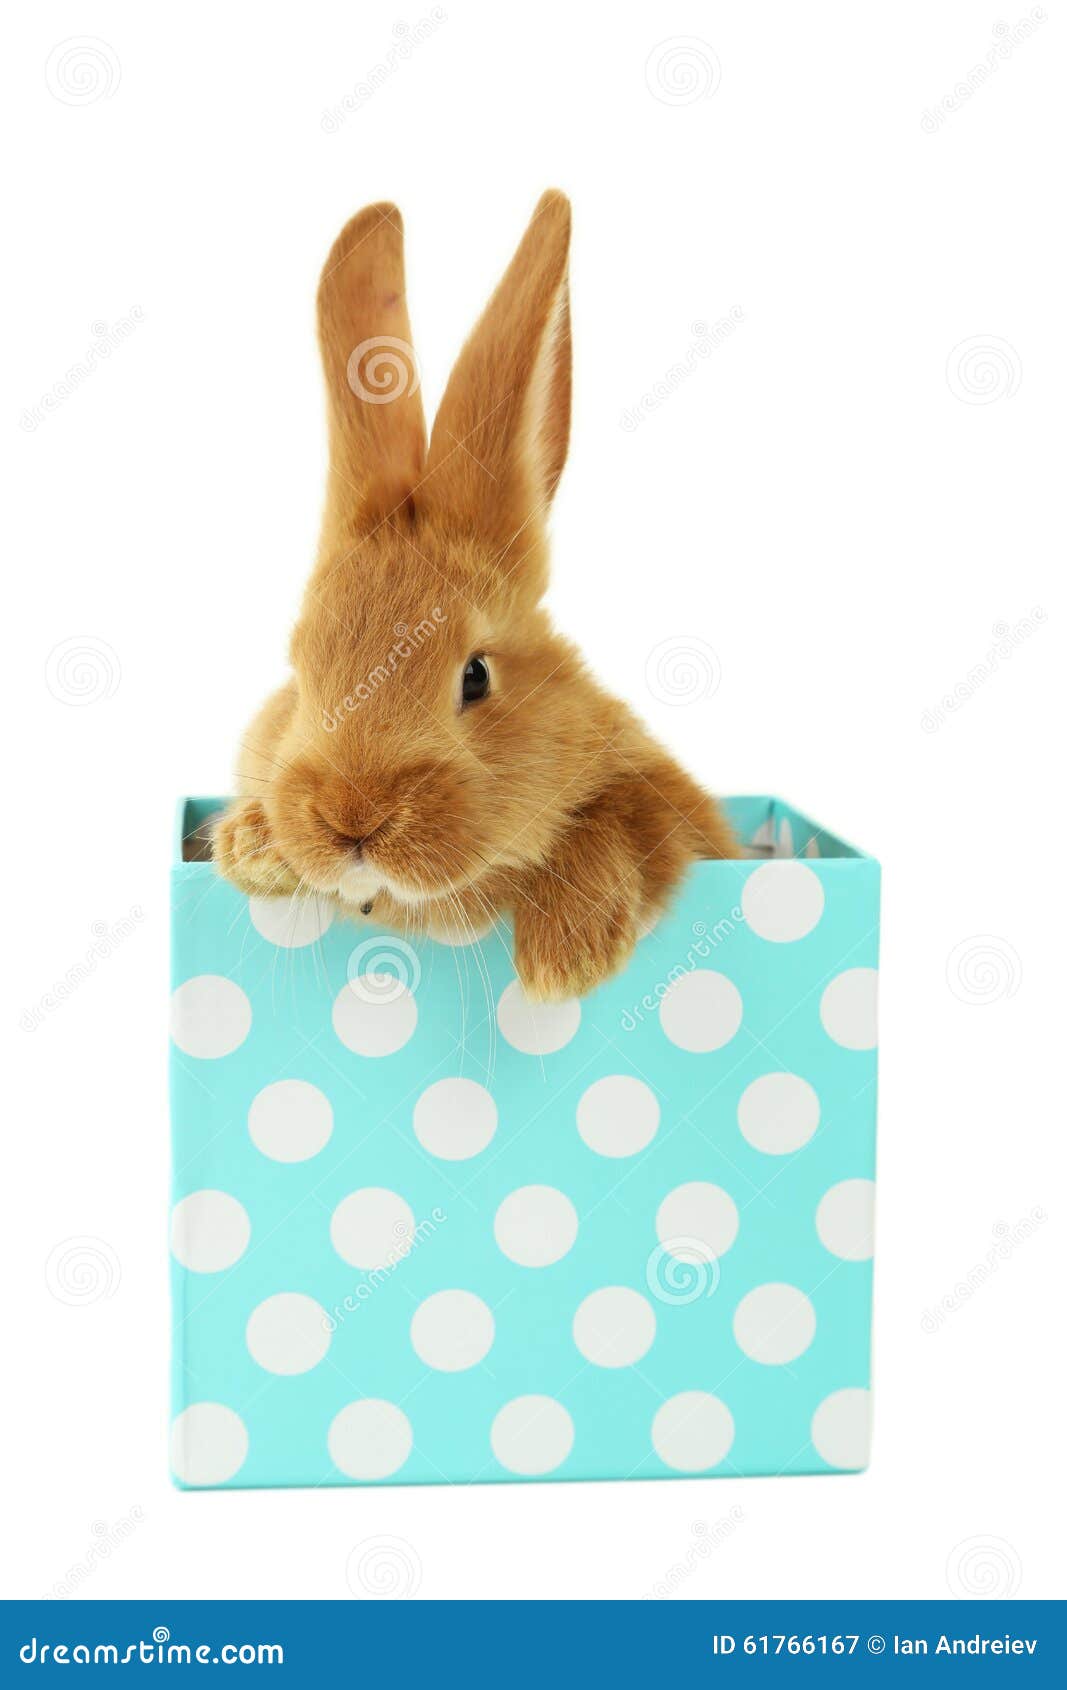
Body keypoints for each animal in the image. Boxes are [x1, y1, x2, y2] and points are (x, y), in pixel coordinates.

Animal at [214, 191, 739, 1001]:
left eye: (476, 676)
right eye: (298, 672)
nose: (351, 819)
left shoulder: (669, 805)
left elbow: (622, 813)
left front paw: (566, 955)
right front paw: (250, 848)